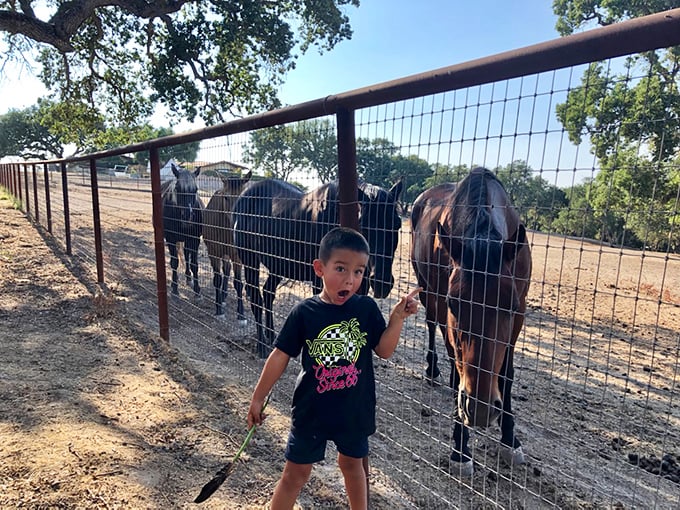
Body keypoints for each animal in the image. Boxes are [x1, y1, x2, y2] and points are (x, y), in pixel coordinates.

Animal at [162, 163, 204, 296]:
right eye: (177, 188)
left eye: (195, 189)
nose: (188, 215)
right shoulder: (170, 239)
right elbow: (174, 262)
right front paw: (175, 288)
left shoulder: (195, 239)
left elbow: (194, 264)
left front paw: (197, 290)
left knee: (186, 254)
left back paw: (188, 277)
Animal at [202, 171, 252, 321]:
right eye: (226, 197)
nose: (237, 221)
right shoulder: (213, 252)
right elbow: (217, 279)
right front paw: (219, 309)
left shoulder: (236, 255)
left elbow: (238, 283)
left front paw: (241, 314)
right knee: (226, 269)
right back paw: (223, 295)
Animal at [233, 177, 403, 358]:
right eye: (364, 224)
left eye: (397, 224)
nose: (381, 282)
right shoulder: (320, 281)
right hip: (250, 260)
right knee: (255, 297)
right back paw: (261, 346)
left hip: (277, 265)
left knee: (268, 293)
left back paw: (272, 337)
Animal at [410, 167, 531, 475]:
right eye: (455, 303)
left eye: (510, 306)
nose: (481, 409)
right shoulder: (443, 306)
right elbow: (457, 367)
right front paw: (461, 449)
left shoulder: (520, 314)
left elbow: (506, 374)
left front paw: (510, 439)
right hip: (425, 288)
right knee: (431, 325)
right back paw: (432, 370)